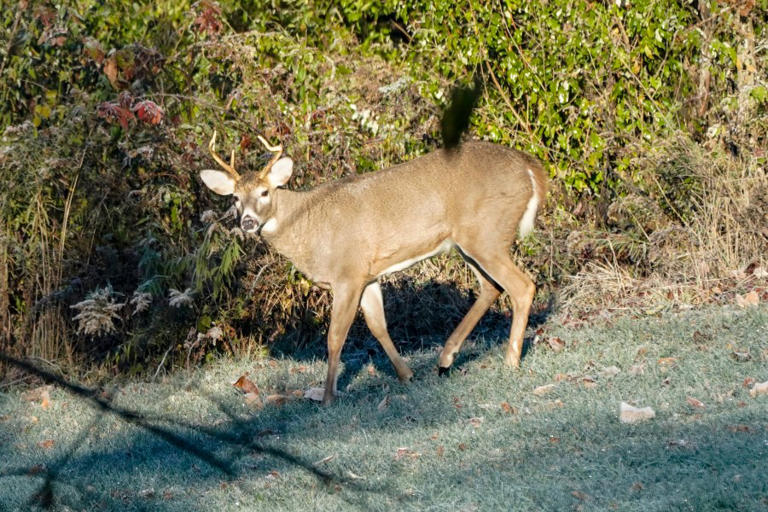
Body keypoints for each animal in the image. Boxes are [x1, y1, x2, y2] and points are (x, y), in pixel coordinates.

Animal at [200, 132, 547, 404]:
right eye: (234, 197)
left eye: (265, 192)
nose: (247, 222)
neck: (309, 225)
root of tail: (529, 168)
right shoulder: (368, 276)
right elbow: (378, 326)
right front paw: (407, 375)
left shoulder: (348, 273)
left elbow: (335, 336)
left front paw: (328, 397)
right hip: (470, 241)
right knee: (492, 287)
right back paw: (445, 360)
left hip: (486, 232)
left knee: (522, 286)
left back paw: (510, 361)